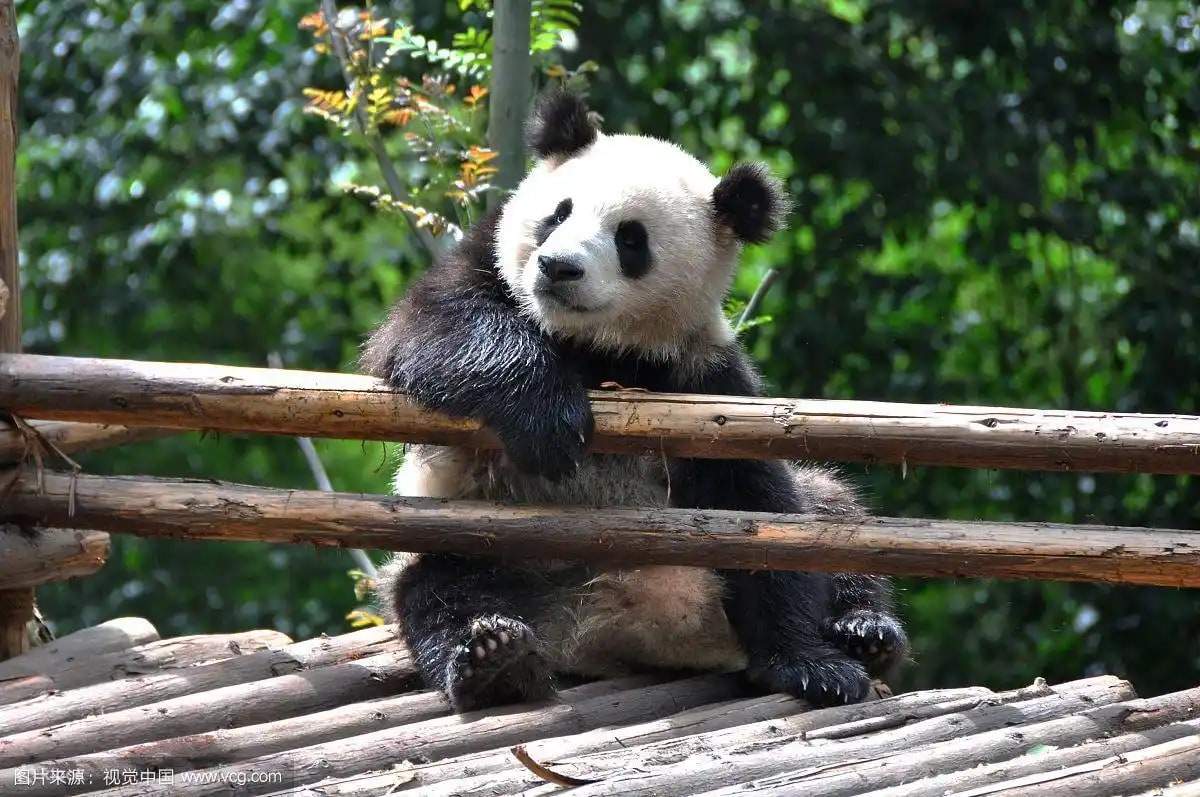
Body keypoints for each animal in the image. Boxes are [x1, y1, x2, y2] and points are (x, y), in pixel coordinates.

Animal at [362, 89, 907, 712]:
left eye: (630, 239)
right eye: (559, 213)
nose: (557, 267)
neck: (596, 348)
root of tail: (614, 626)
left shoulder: (701, 374)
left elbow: (757, 508)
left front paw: (811, 666)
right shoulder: (482, 268)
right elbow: (433, 331)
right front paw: (550, 420)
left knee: (829, 512)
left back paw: (863, 633)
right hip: (481, 542)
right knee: (442, 587)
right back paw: (493, 659)